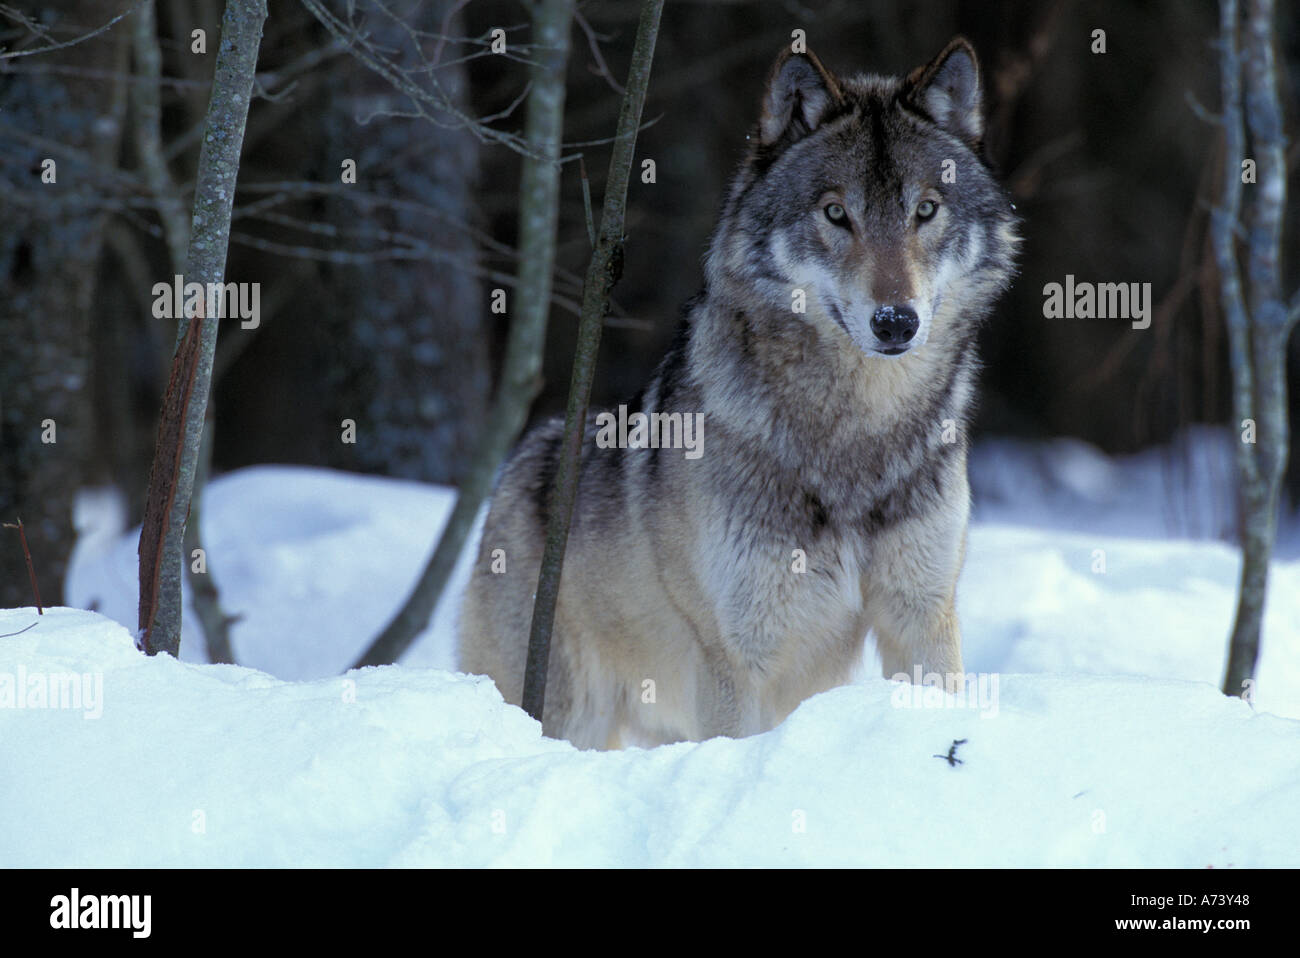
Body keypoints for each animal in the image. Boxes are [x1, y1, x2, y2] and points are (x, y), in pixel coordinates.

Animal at [459, 37, 1019, 749]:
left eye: (925, 210)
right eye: (836, 213)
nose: (896, 322)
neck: (857, 435)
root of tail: (521, 460)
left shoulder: (922, 617)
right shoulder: (736, 657)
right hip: (572, 713)